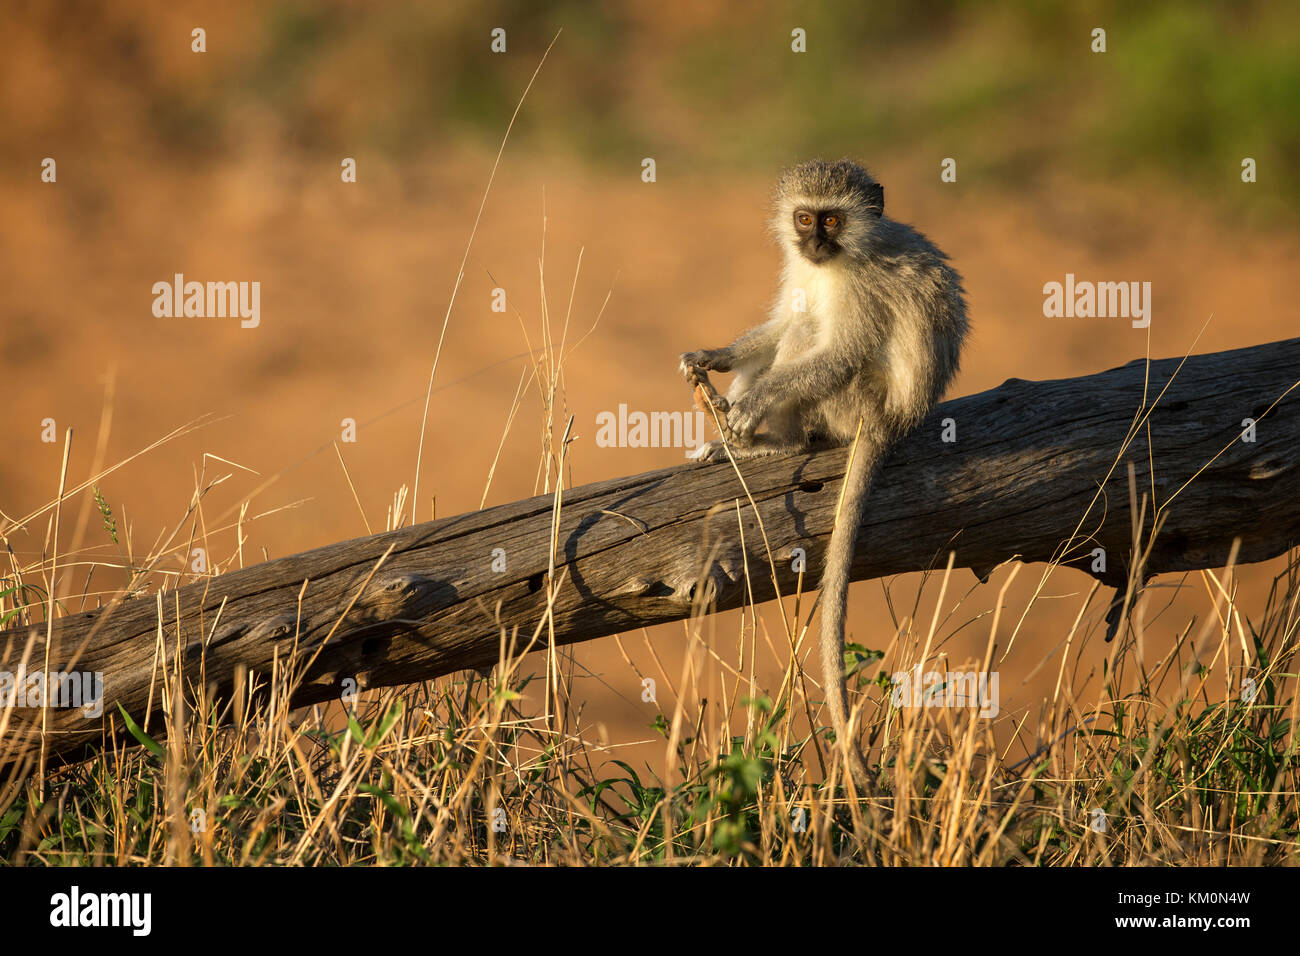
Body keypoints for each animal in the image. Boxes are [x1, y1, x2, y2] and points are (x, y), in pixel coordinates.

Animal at [680, 159, 968, 788]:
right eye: (805, 218)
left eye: (832, 220)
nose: (814, 243)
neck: (841, 258)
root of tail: (892, 424)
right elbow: (780, 319)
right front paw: (711, 356)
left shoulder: (859, 290)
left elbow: (839, 351)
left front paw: (751, 406)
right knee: (797, 322)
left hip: (853, 406)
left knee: (812, 344)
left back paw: (768, 444)